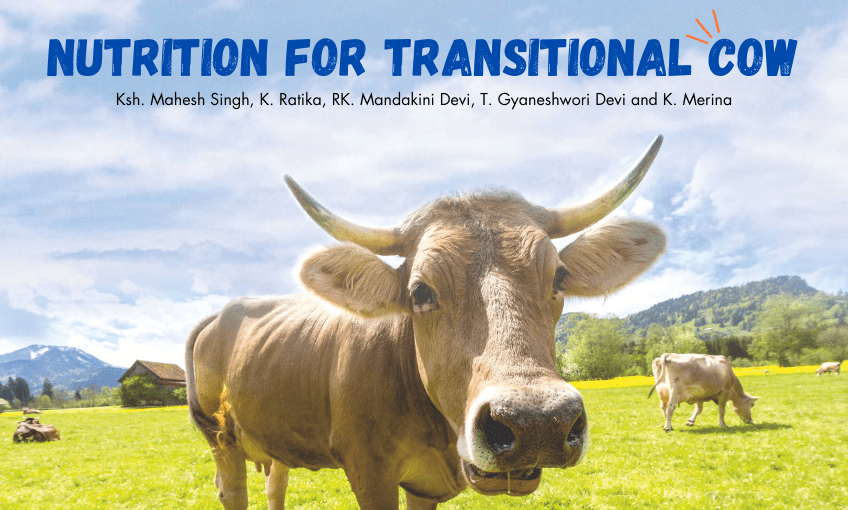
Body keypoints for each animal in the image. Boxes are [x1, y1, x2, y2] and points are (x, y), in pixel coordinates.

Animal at [187, 136, 667, 509]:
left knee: (275, 485)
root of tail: (223, 311)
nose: (536, 423)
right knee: (232, 491)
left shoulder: (424, 487)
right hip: (220, 438)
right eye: (420, 292)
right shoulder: (368, 470)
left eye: (559, 277)